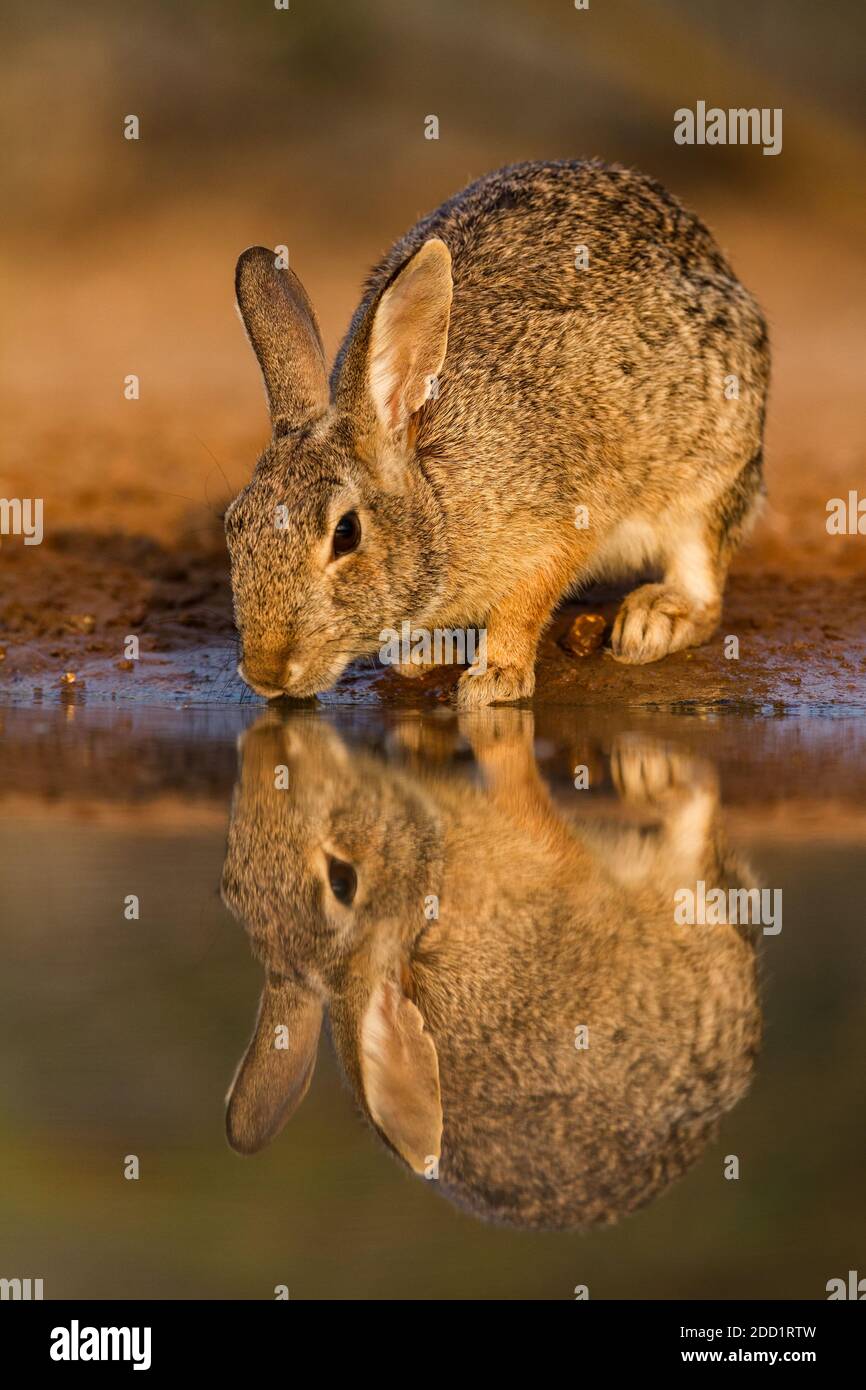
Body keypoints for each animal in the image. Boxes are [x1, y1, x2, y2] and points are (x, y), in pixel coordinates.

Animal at [226, 159, 770, 708]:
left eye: (346, 533)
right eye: (234, 524)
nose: (266, 672)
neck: (437, 498)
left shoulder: (558, 520)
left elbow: (524, 602)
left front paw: (495, 678)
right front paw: (424, 651)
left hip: (710, 472)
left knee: (704, 584)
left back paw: (651, 623)